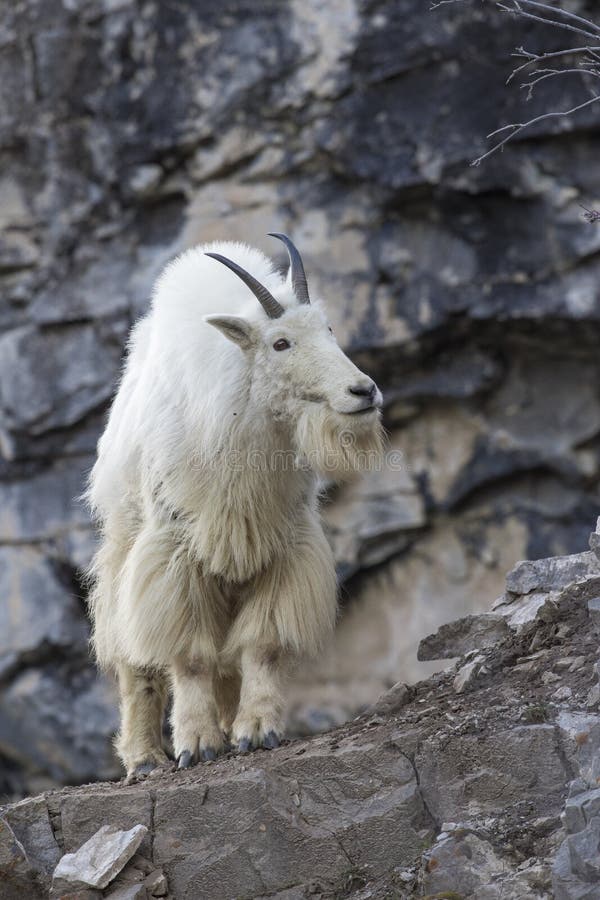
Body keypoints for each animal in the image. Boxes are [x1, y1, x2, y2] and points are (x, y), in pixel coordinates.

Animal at [87, 234, 383, 775]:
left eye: (328, 329)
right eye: (280, 343)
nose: (363, 391)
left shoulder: (283, 548)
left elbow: (262, 645)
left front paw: (256, 731)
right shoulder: (175, 553)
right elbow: (189, 655)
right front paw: (195, 744)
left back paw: (226, 726)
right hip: (124, 545)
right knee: (135, 659)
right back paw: (145, 758)